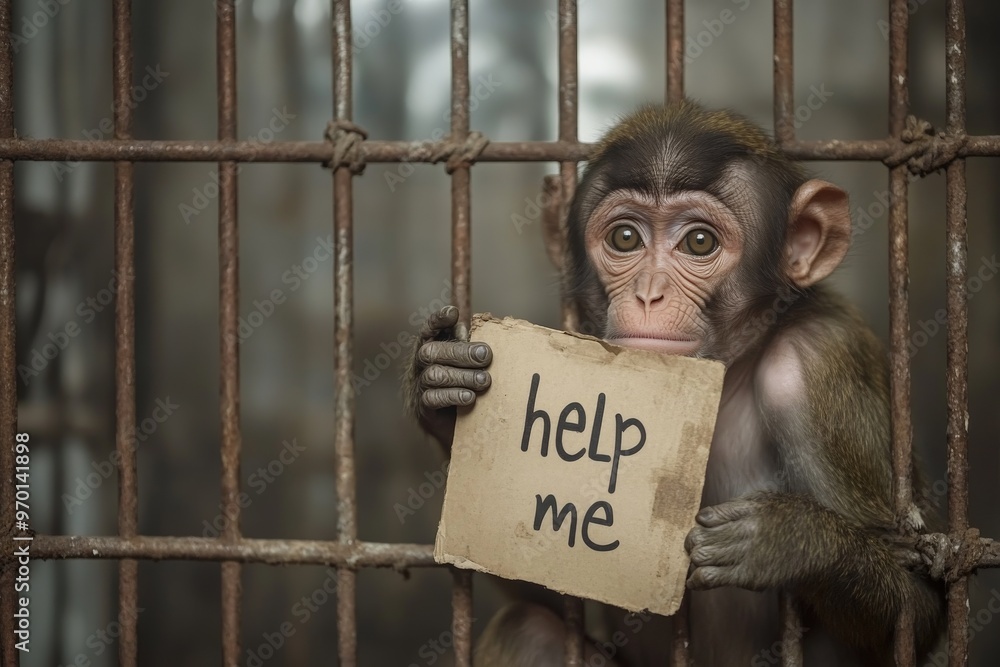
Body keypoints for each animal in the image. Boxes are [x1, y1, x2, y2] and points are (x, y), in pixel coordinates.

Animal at [405, 100, 944, 666]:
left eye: (699, 242)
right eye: (624, 238)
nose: (649, 293)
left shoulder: (818, 361)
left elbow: (919, 604)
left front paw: (791, 541)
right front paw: (444, 386)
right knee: (530, 630)